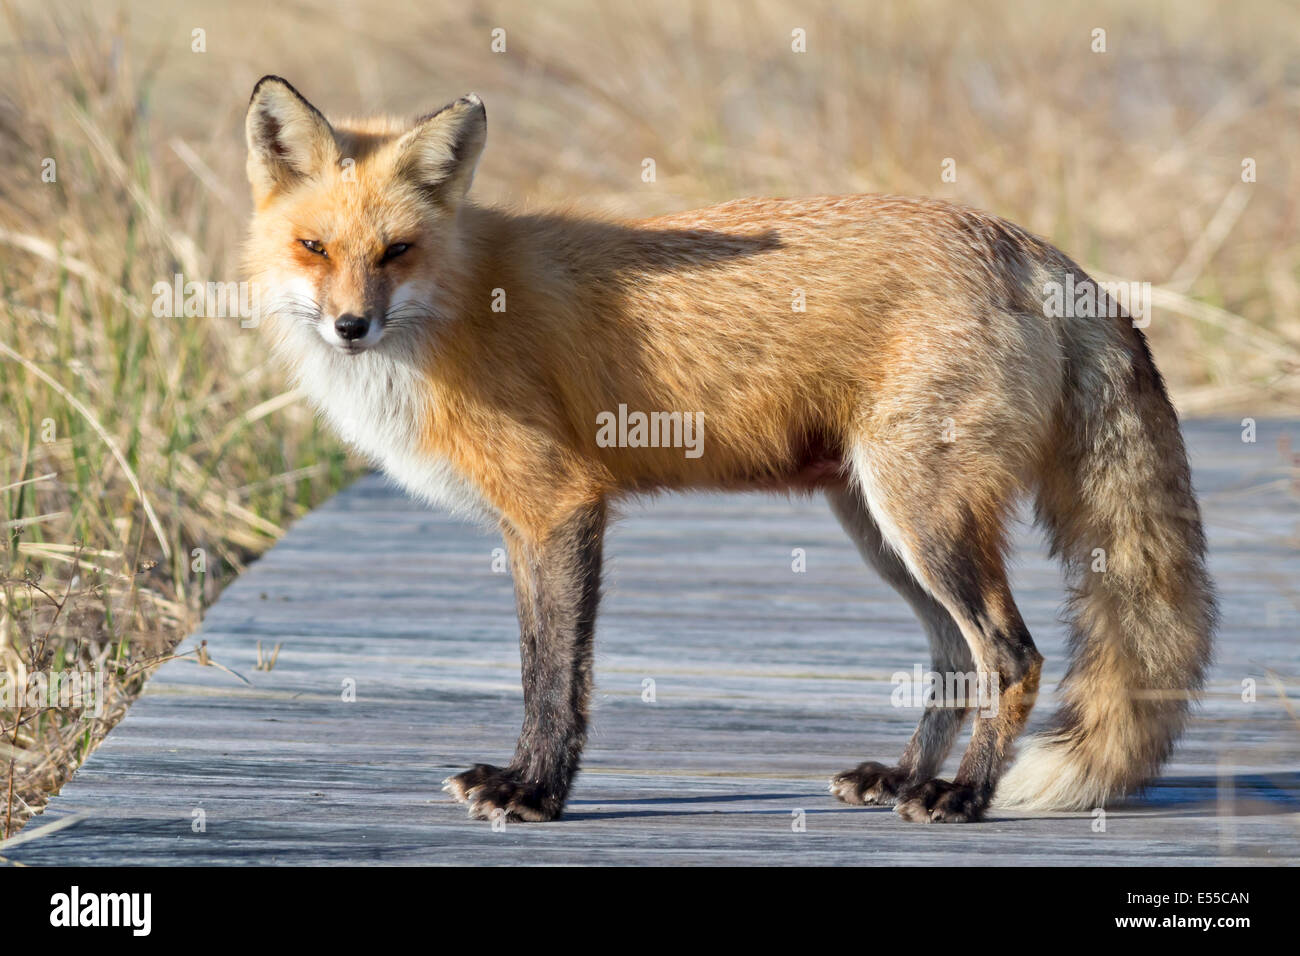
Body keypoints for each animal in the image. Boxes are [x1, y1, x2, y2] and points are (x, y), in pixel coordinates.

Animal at [242, 76, 1216, 824]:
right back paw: (906, 775)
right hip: (882, 525)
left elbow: (555, 676)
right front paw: (532, 781)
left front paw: (538, 791)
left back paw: (962, 797)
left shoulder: (559, 505)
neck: (463, 304)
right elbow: (540, 667)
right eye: (314, 247)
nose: (351, 326)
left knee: (1012, 657)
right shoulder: (529, 527)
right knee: (952, 657)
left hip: (925, 517)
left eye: (397, 250)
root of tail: (1028, 245)